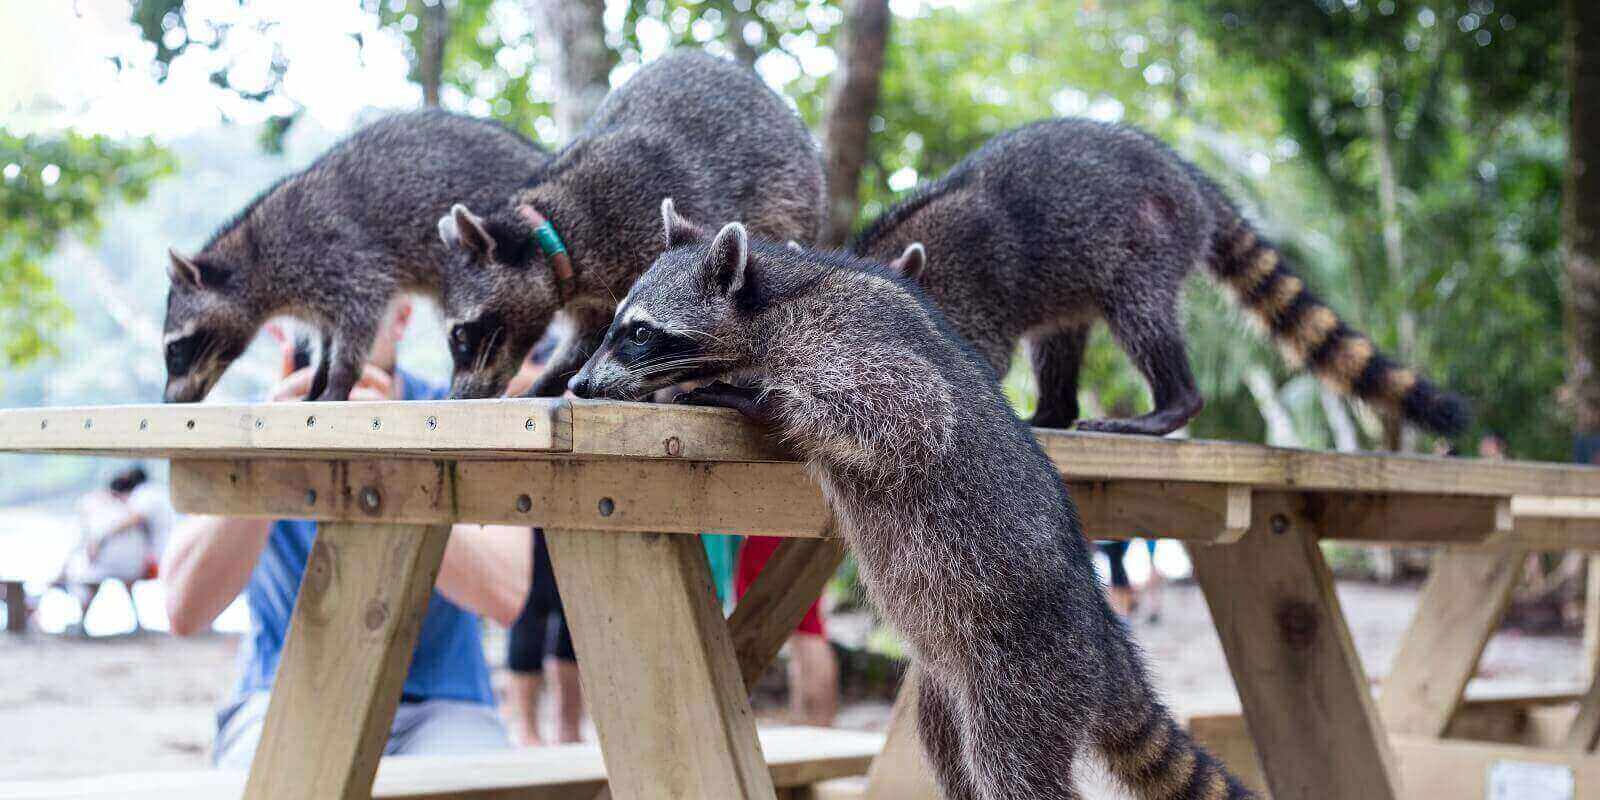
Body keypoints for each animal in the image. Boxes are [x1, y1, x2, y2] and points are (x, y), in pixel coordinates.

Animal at [161, 109, 548, 402]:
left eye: (175, 350)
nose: (169, 400)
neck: (251, 260)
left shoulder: (340, 257)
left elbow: (358, 321)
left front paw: (337, 384)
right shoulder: (314, 293)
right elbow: (327, 338)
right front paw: (317, 382)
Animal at [435, 50, 824, 399]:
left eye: (460, 335)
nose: (457, 398)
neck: (552, 230)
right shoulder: (588, 294)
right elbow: (587, 342)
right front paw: (545, 385)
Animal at [567, 201, 1256, 800]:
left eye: (638, 332)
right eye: (617, 325)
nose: (577, 382)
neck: (778, 291)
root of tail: (1107, 645)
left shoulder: (841, 333)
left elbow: (912, 411)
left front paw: (755, 394)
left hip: (1027, 672)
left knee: (1010, 765)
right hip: (952, 682)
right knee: (946, 745)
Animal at [854, 118, 1468, 437]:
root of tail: (1191, 179)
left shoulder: (973, 286)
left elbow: (985, 355)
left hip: (1150, 238)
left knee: (1142, 319)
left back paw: (1171, 403)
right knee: (1056, 340)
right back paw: (1053, 411)